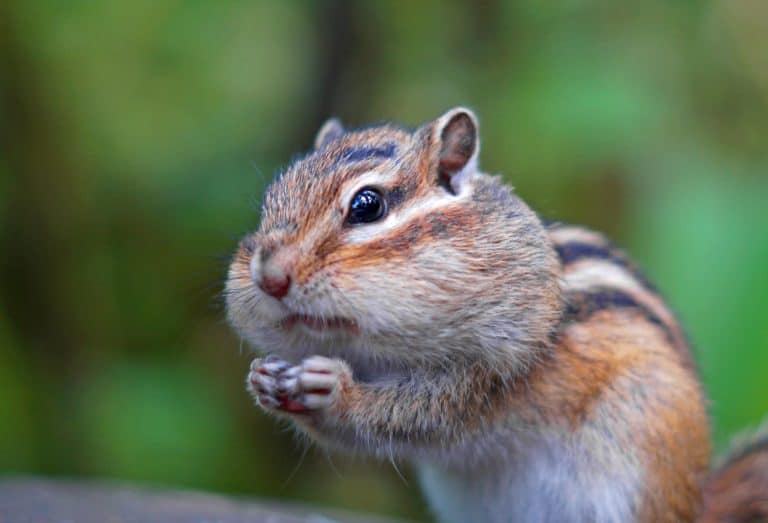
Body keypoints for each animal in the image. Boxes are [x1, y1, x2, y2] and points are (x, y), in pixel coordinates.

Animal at [225, 107, 768, 523]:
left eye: (367, 205)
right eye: (271, 199)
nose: (269, 276)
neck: (374, 353)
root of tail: (695, 504)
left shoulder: (498, 370)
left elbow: (425, 417)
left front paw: (334, 390)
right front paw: (264, 379)